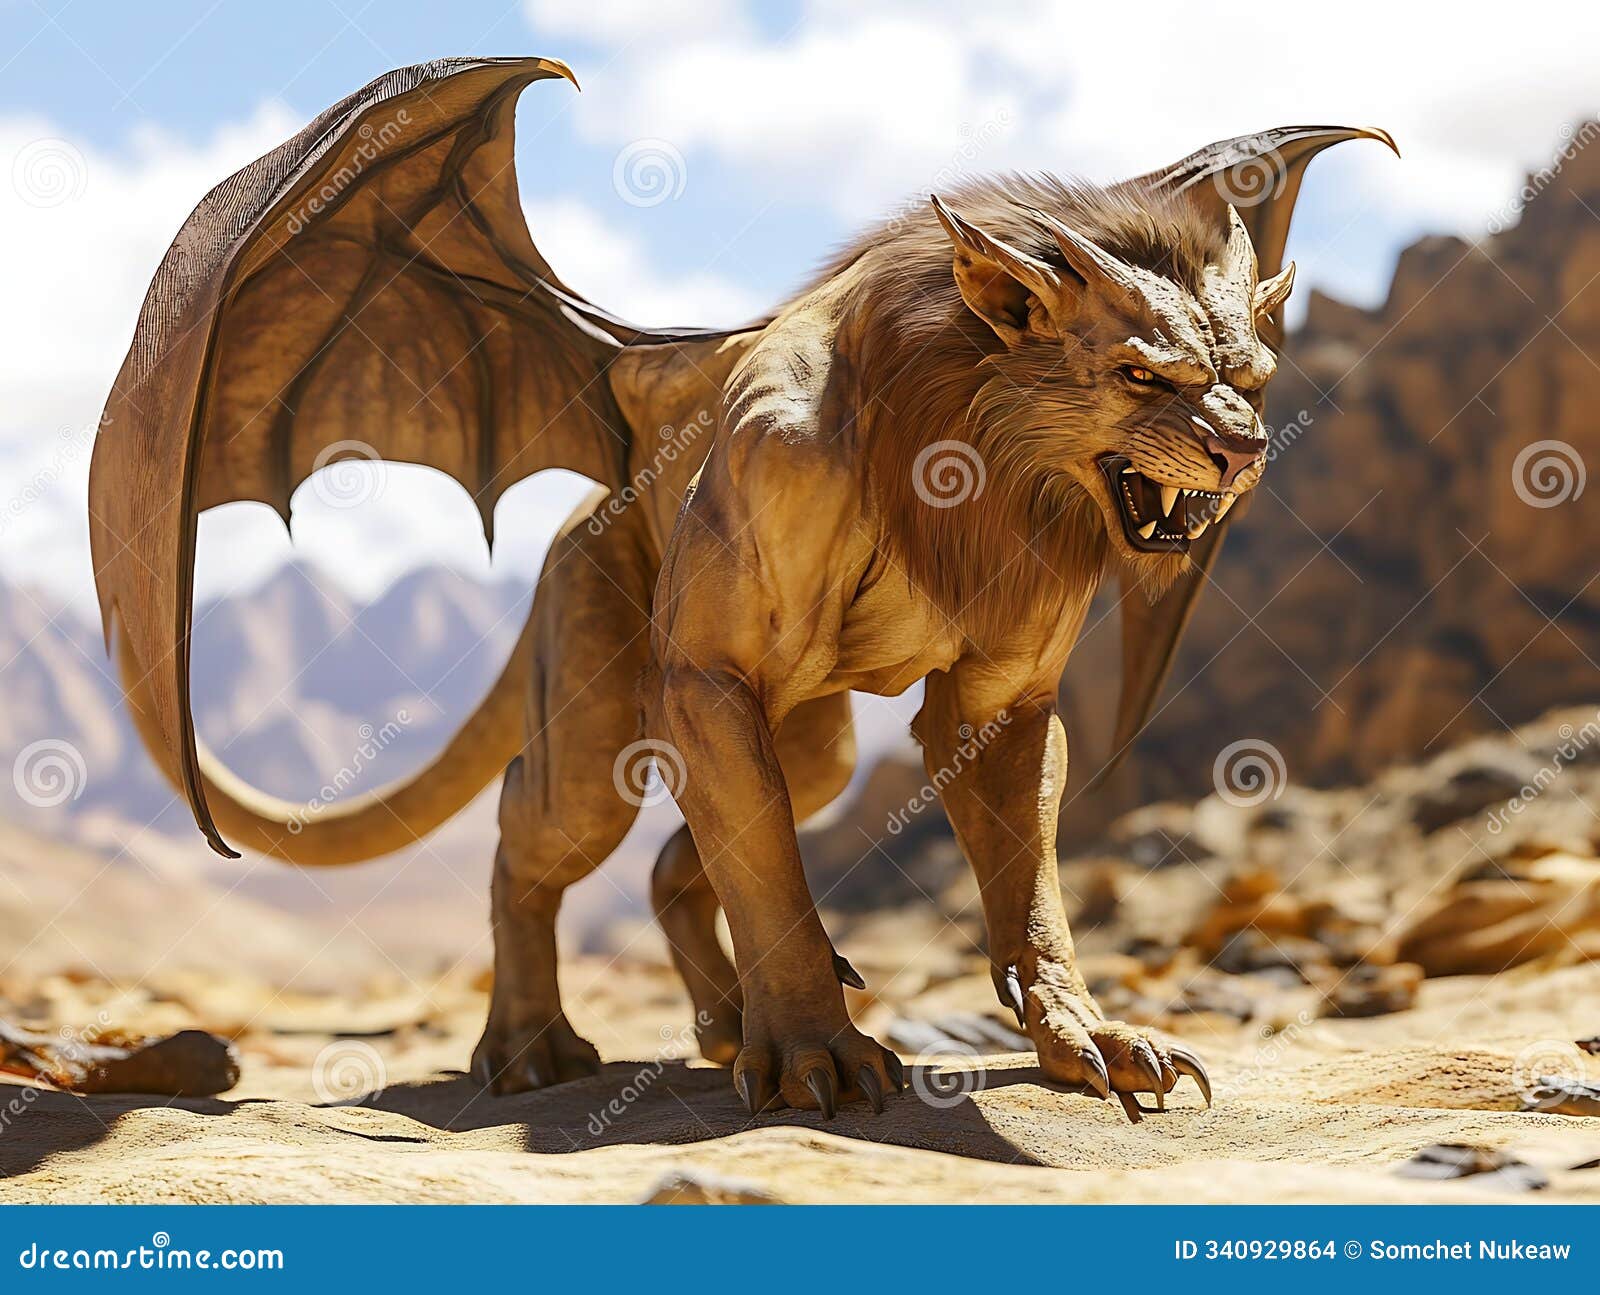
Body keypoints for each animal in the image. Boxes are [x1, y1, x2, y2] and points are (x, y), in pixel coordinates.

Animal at [89, 58, 1394, 1115]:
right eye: (1140, 375)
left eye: (1250, 377)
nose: (1243, 447)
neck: (965, 462)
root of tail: (581, 511)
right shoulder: (715, 654)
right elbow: (766, 864)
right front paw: (816, 1054)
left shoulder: (1002, 698)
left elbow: (1023, 881)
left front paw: (1092, 1037)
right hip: (599, 684)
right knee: (534, 830)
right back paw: (532, 1048)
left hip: (811, 736)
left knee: (689, 850)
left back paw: (720, 1023)